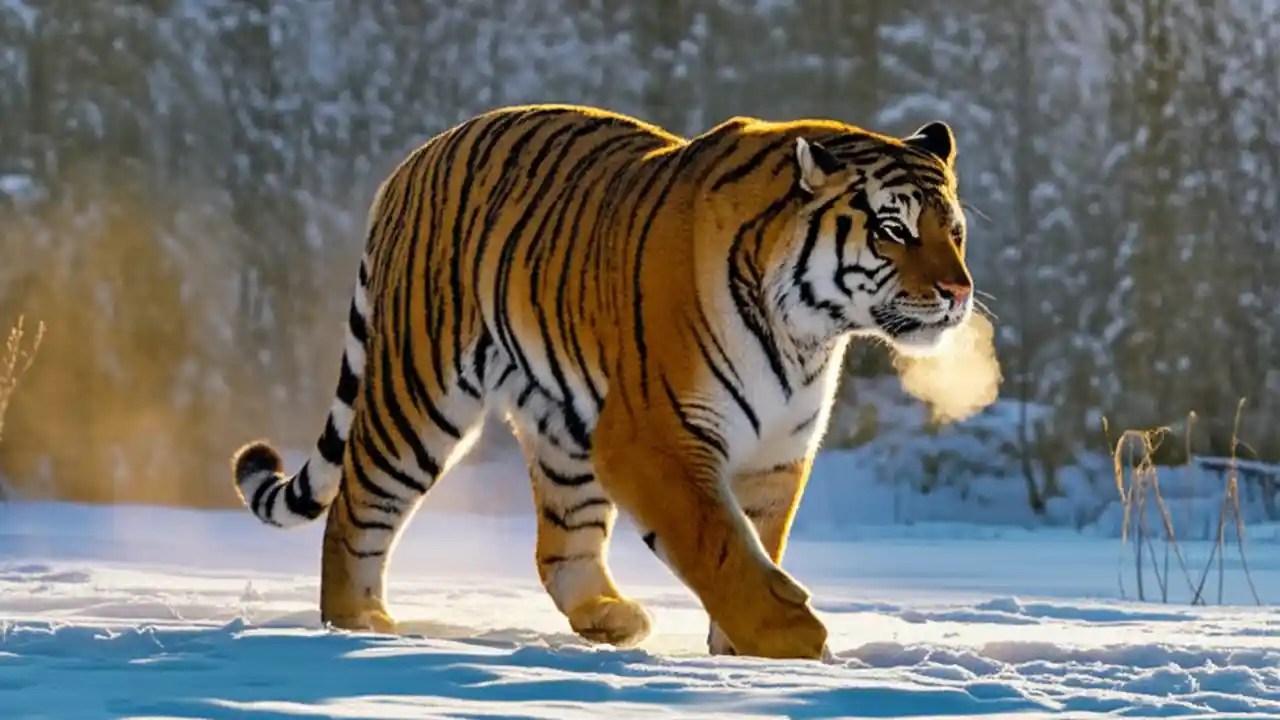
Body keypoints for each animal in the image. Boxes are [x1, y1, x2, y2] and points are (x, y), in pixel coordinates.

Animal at [231, 104, 972, 660]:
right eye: (893, 229)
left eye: (955, 232)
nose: (958, 292)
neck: (807, 333)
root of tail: (412, 162)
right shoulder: (656, 439)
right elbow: (721, 545)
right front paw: (791, 639)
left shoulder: (777, 453)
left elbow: (758, 540)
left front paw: (738, 650)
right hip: (419, 395)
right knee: (356, 508)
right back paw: (361, 627)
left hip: (563, 424)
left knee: (562, 543)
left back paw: (609, 617)